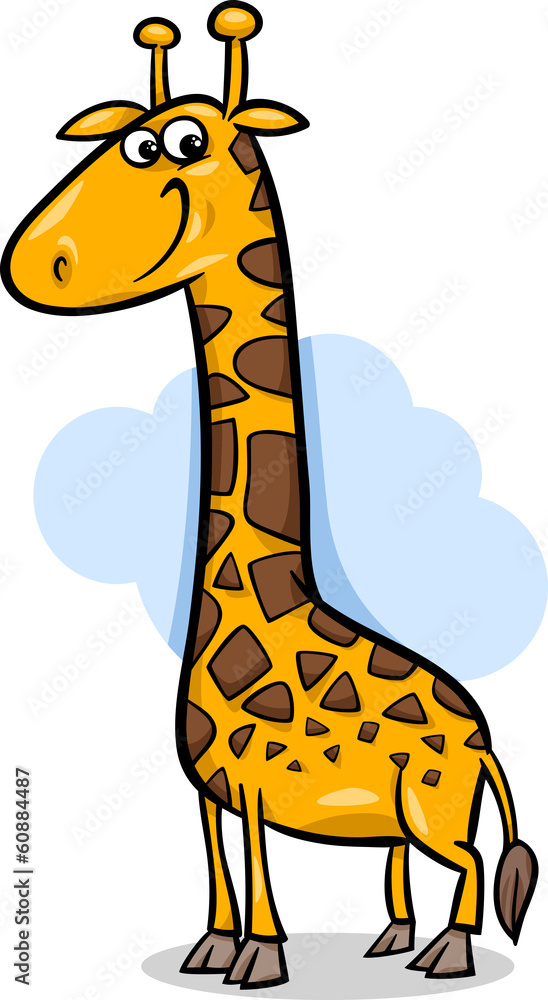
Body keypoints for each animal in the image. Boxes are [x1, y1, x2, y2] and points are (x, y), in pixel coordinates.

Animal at [1, 3, 538, 989]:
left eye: (176, 143)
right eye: (119, 137)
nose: (38, 263)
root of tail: (484, 736)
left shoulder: (253, 779)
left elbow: (253, 863)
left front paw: (260, 960)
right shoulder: (210, 787)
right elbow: (219, 861)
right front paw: (214, 950)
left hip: (437, 803)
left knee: (478, 859)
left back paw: (445, 954)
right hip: (403, 815)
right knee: (404, 863)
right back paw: (391, 938)